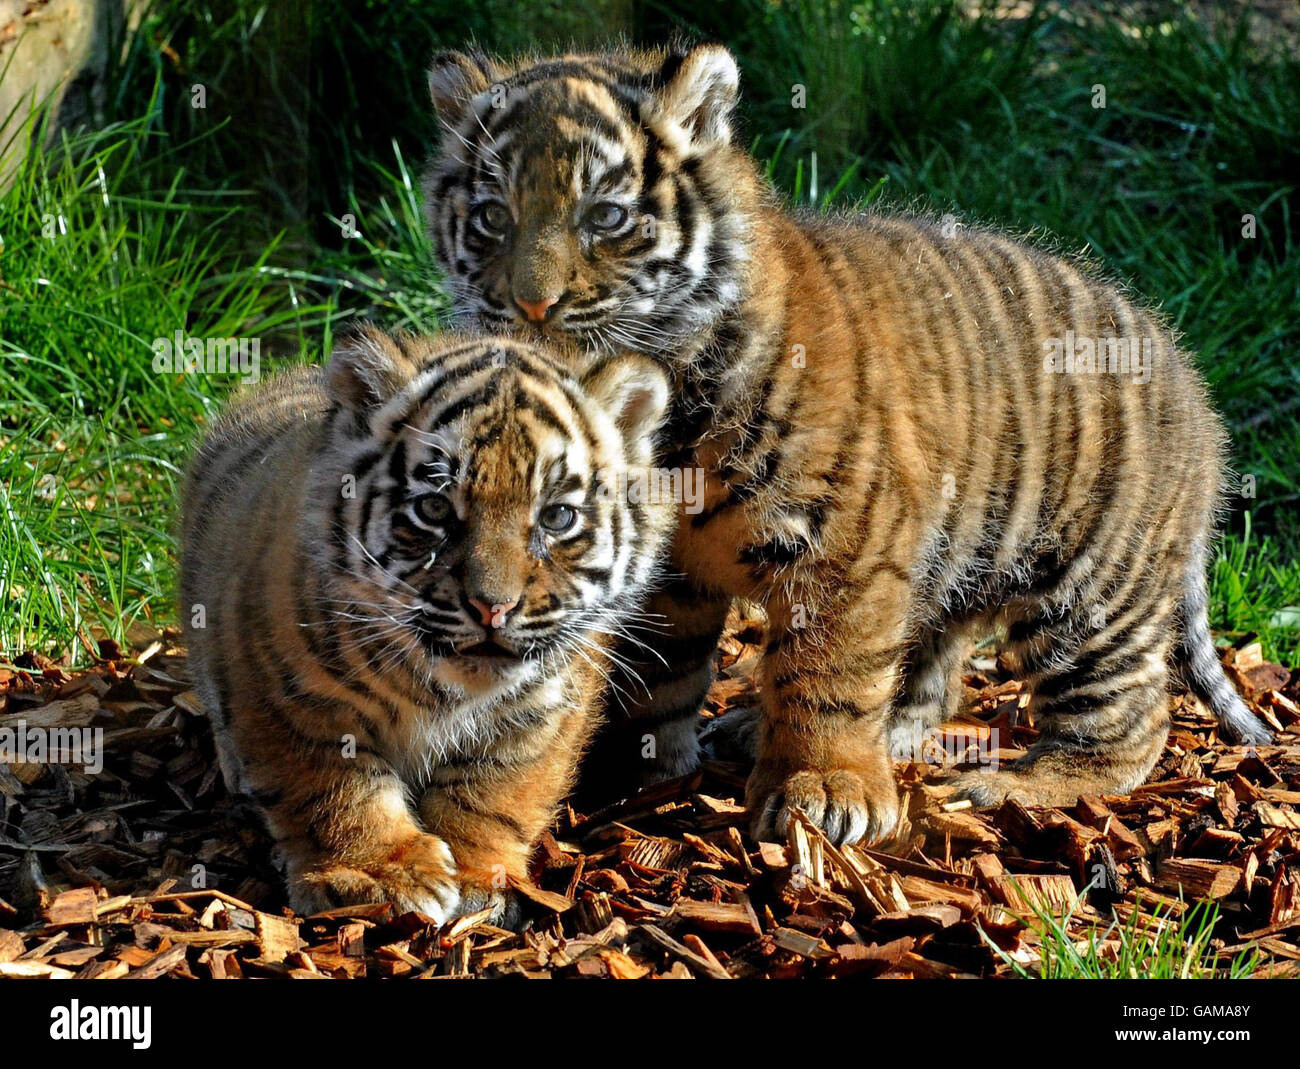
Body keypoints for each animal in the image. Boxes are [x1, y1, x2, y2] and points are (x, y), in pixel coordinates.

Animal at [180, 326, 674, 921]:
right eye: (434, 510)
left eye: (558, 516)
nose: (493, 608)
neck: (443, 692)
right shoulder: (286, 695)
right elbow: (335, 790)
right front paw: (374, 874)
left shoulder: (542, 709)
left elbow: (494, 791)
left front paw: (476, 874)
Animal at [422, 44, 1272, 847]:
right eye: (492, 215)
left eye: (604, 216)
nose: (530, 305)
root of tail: (1194, 377)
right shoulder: (658, 570)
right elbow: (654, 674)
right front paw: (625, 774)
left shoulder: (847, 546)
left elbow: (830, 671)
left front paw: (825, 792)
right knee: (934, 677)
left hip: (1090, 589)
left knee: (1130, 723)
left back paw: (1012, 786)